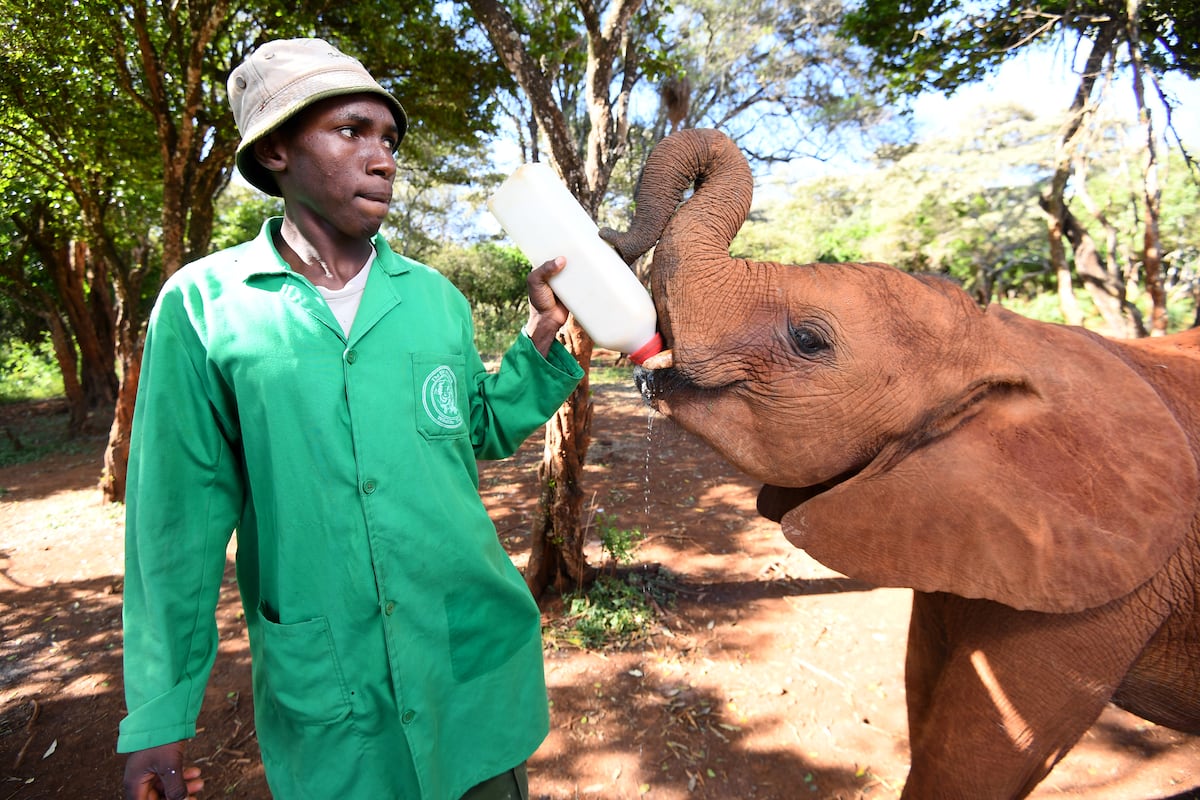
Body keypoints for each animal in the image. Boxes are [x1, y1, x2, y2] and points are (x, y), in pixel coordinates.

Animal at [598, 127, 1200, 798]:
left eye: (809, 340)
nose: (605, 234)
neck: (1004, 344)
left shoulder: (1106, 586)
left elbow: (980, 756)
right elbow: (923, 684)